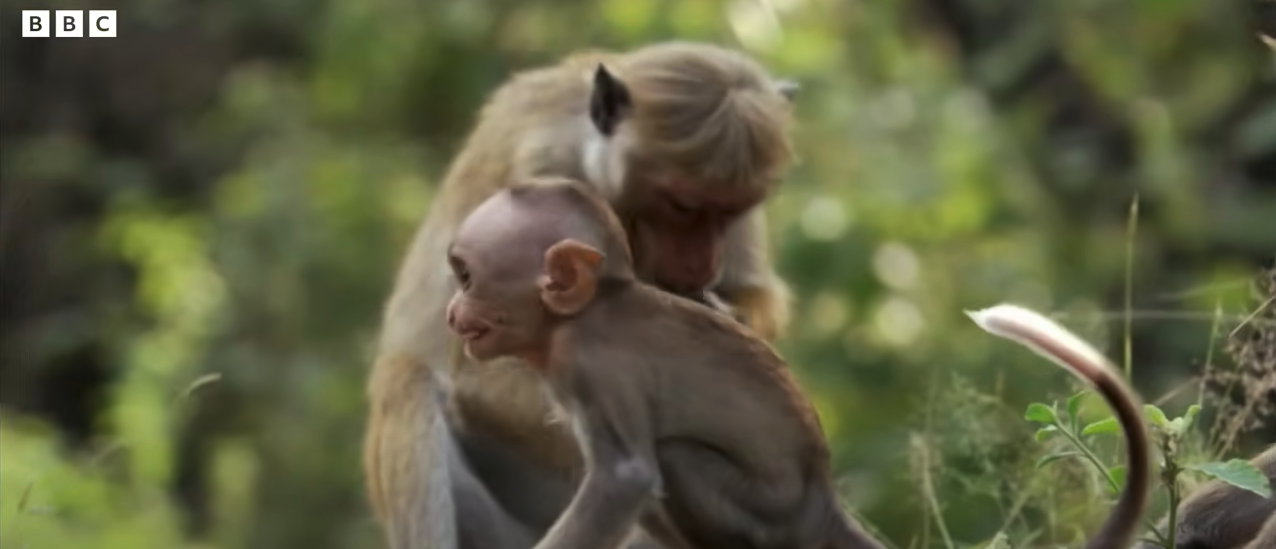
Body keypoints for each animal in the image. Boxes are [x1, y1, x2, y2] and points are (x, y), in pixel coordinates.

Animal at [364, 41, 801, 549]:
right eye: (682, 205)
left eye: (733, 210)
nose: (702, 263)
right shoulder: (538, 172)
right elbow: (488, 378)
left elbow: (754, 308)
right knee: (406, 378)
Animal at [441, 178, 1152, 549]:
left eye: (467, 276)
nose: (451, 314)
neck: (584, 312)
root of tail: (823, 503)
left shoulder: (591, 368)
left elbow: (626, 477)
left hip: (763, 512)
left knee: (673, 457)